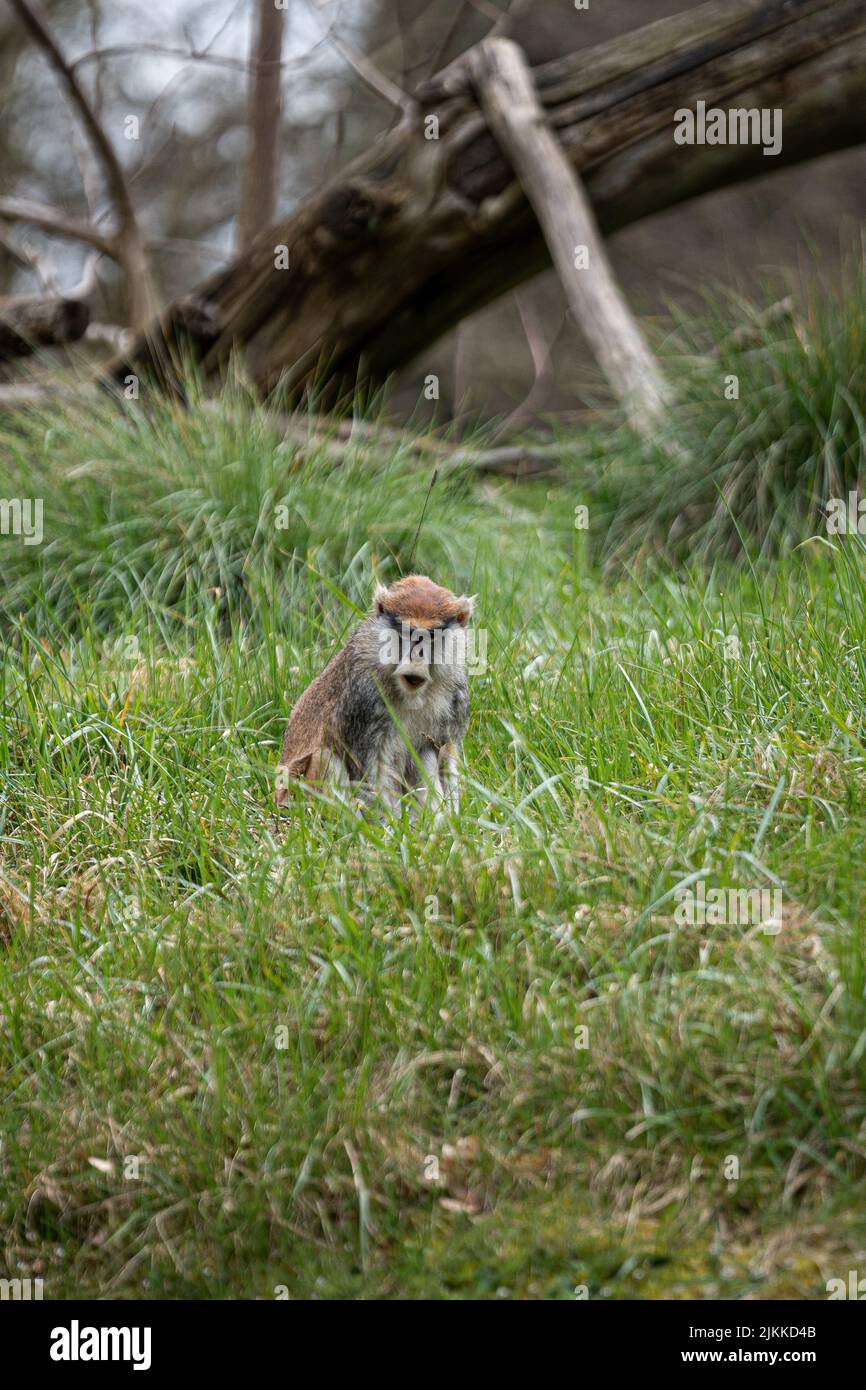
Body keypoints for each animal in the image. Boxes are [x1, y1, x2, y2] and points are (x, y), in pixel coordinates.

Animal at [275, 575, 474, 818]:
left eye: (431, 636)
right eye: (407, 633)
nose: (416, 657)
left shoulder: (456, 695)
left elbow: (444, 753)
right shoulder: (364, 697)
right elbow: (370, 768)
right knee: (325, 757)